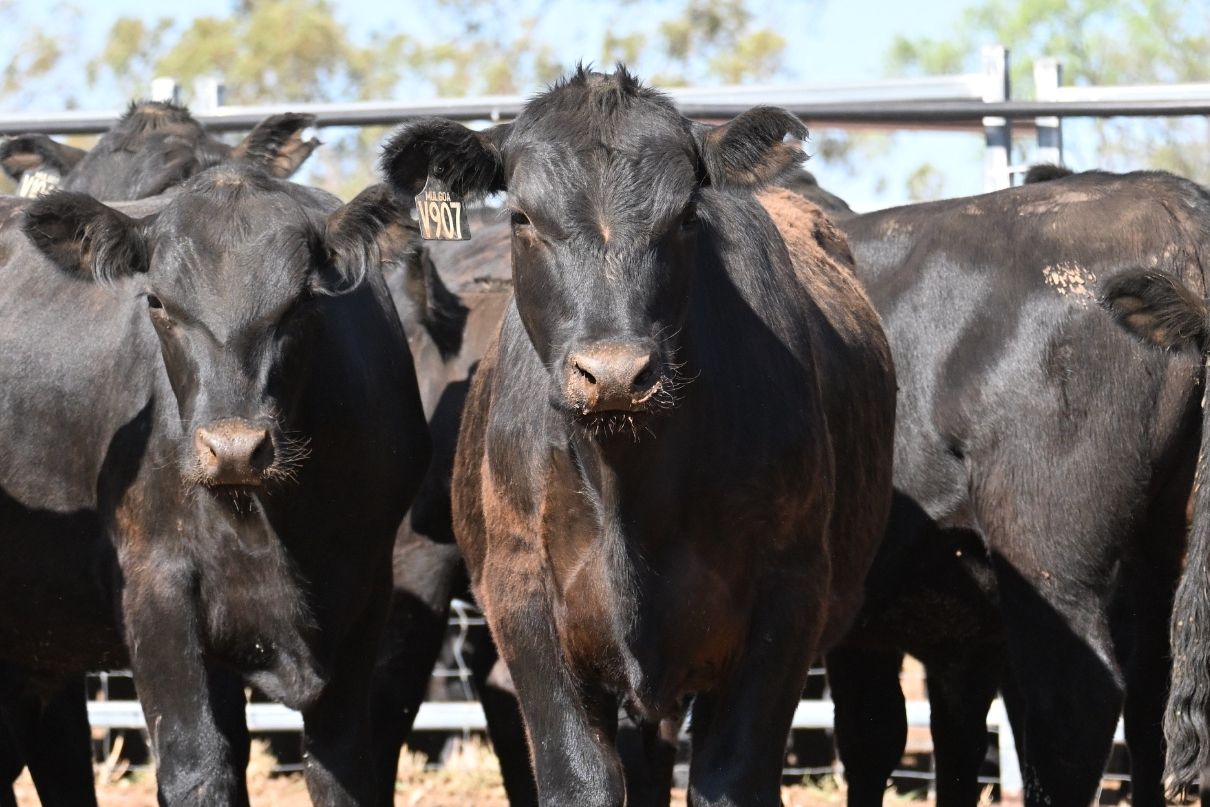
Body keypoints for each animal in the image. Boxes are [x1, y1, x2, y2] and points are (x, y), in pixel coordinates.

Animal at [0, 166, 430, 806]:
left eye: (304, 301)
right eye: (157, 301)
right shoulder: (155, 585)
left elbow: (345, 769)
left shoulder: (366, 590)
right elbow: (198, 767)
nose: (233, 448)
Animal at [379, 66, 897, 807]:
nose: (616, 373)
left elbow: (731, 776)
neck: (630, 486)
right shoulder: (522, 602)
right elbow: (577, 776)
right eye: (522, 217)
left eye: (684, 216)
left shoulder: (788, 601)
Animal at [822, 168, 1210, 806]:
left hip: (1049, 554)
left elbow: (869, 737)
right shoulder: (958, 636)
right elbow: (950, 741)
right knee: (1148, 702)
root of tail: (1169, 196)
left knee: (1074, 703)